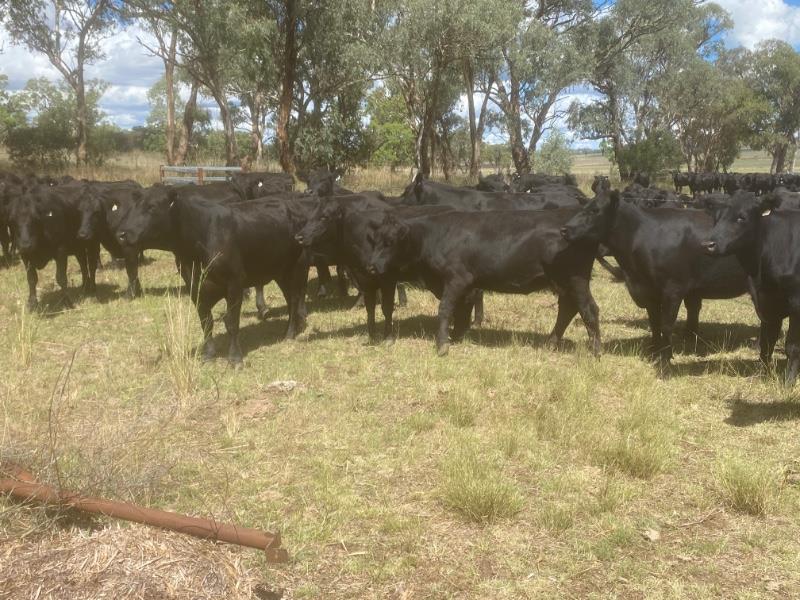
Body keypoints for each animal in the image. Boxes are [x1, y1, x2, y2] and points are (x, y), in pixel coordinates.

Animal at [364, 208, 601, 356]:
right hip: (564, 283)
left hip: (575, 280)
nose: (372, 266)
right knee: (568, 309)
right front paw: (456, 335)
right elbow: (461, 310)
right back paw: (551, 343)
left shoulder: (457, 279)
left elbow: (445, 309)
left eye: (390, 242)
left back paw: (595, 350)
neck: (434, 235)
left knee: (589, 310)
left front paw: (442, 344)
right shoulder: (467, 285)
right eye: (374, 242)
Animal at [561, 190, 755, 367]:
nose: (564, 229)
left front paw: (665, 358)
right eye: (583, 207)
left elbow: (666, 324)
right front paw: (653, 350)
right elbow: (654, 321)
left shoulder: (673, 289)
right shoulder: (648, 290)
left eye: (595, 210)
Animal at [702, 191, 800, 384]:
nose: (708, 244)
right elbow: (767, 343)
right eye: (716, 218)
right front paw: (762, 374)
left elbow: (792, 346)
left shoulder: (796, 304)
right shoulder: (766, 302)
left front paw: (788, 381)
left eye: (741, 217)